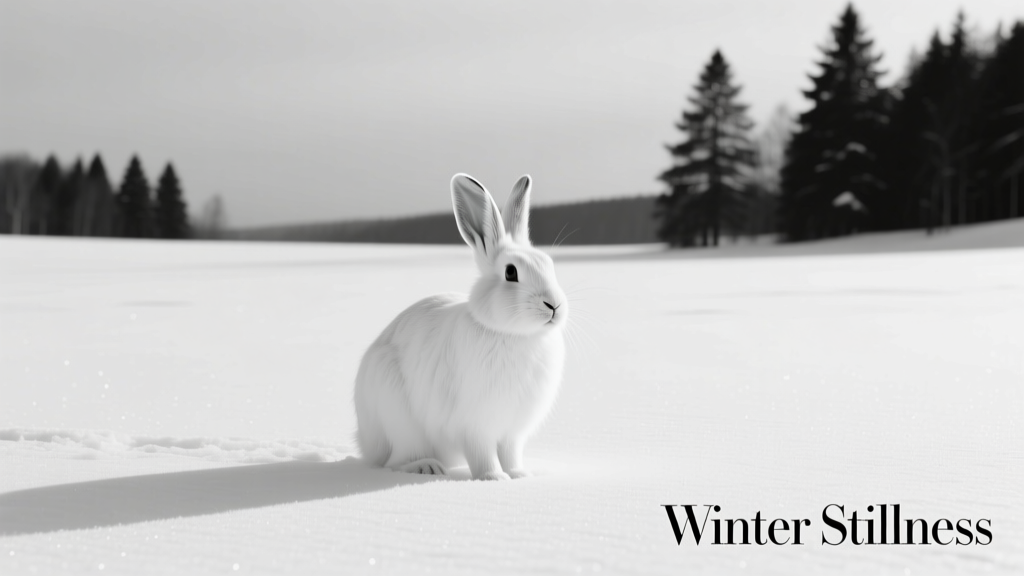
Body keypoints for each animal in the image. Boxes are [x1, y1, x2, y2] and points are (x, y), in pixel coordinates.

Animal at [353, 173, 568, 480]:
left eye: (548, 264)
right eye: (510, 272)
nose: (554, 305)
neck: (513, 334)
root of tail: (366, 440)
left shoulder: (513, 431)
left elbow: (510, 453)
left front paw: (518, 475)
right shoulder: (475, 423)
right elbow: (482, 453)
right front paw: (492, 477)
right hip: (399, 418)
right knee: (396, 460)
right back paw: (426, 466)